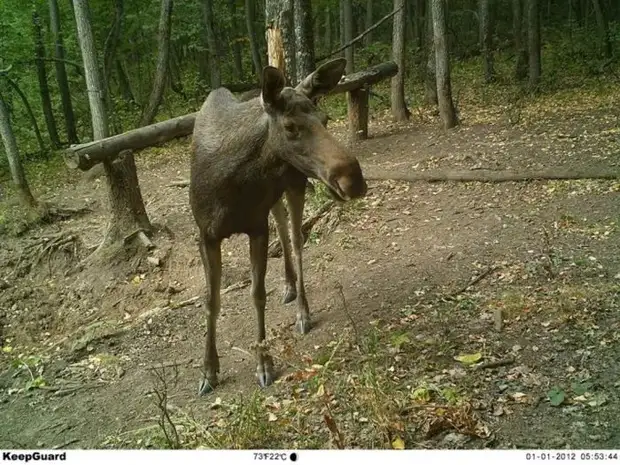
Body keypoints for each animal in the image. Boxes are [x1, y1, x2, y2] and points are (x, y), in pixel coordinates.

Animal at [186, 57, 366, 392]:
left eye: (325, 119)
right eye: (290, 126)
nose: (354, 179)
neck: (233, 184)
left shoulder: (256, 227)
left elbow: (257, 295)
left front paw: (264, 363)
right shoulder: (206, 234)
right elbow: (210, 300)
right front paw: (208, 371)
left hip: (295, 183)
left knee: (295, 241)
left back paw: (303, 312)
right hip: (276, 195)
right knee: (282, 228)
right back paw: (288, 285)